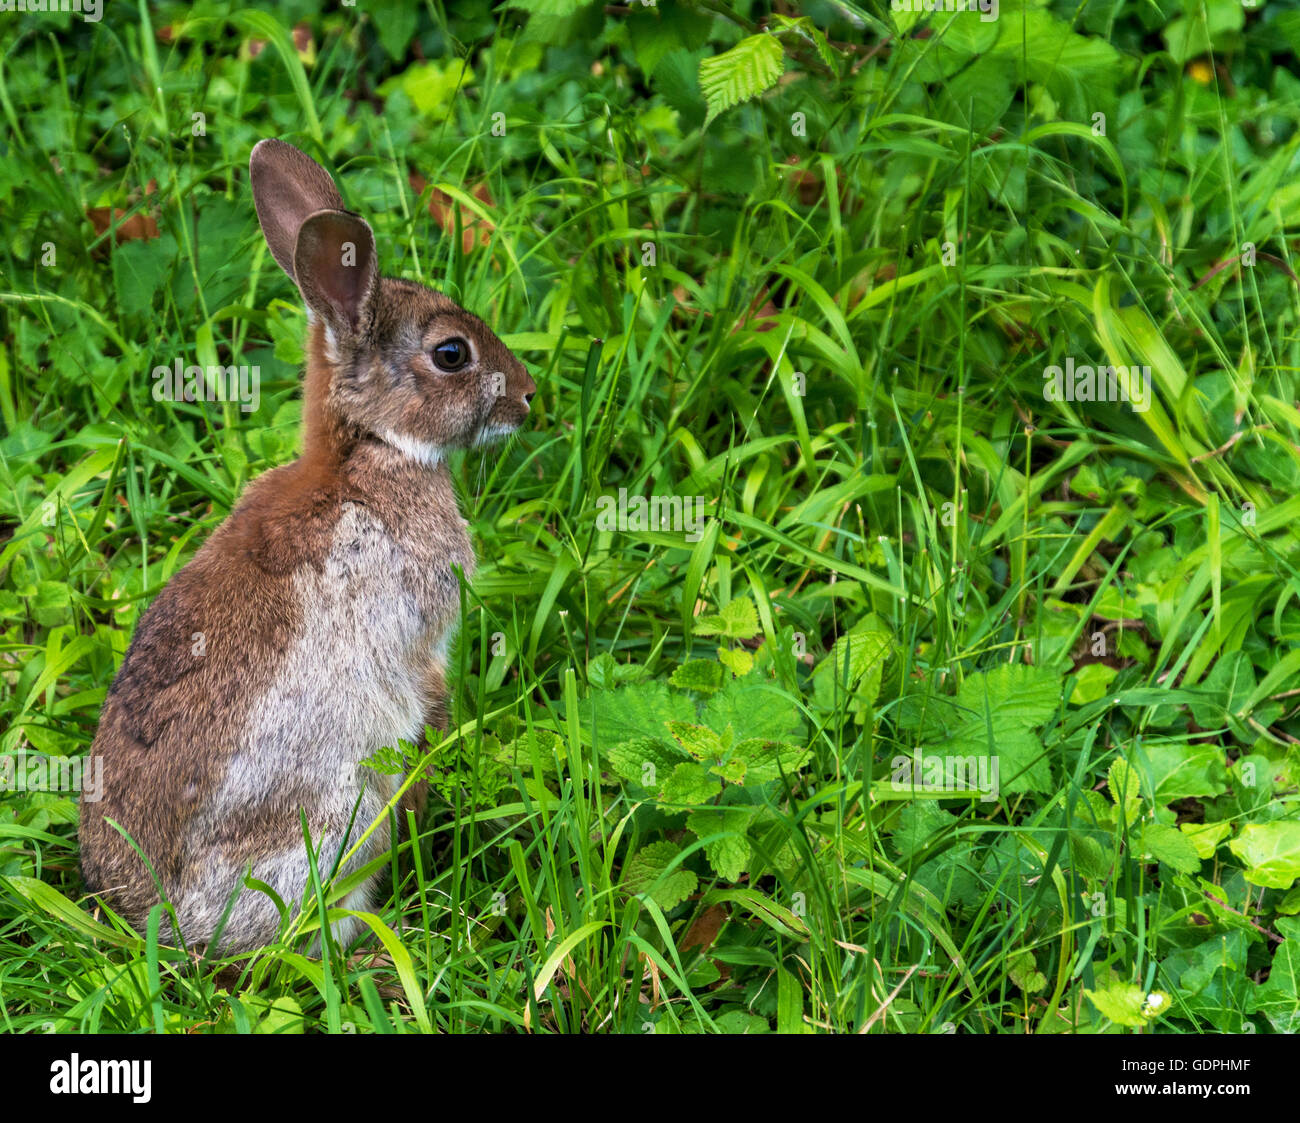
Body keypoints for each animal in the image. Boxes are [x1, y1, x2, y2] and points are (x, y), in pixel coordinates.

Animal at [78, 138, 536, 955]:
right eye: (452, 353)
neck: (365, 451)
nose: (527, 395)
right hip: (334, 821)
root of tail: (164, 920)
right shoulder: (419, 637)